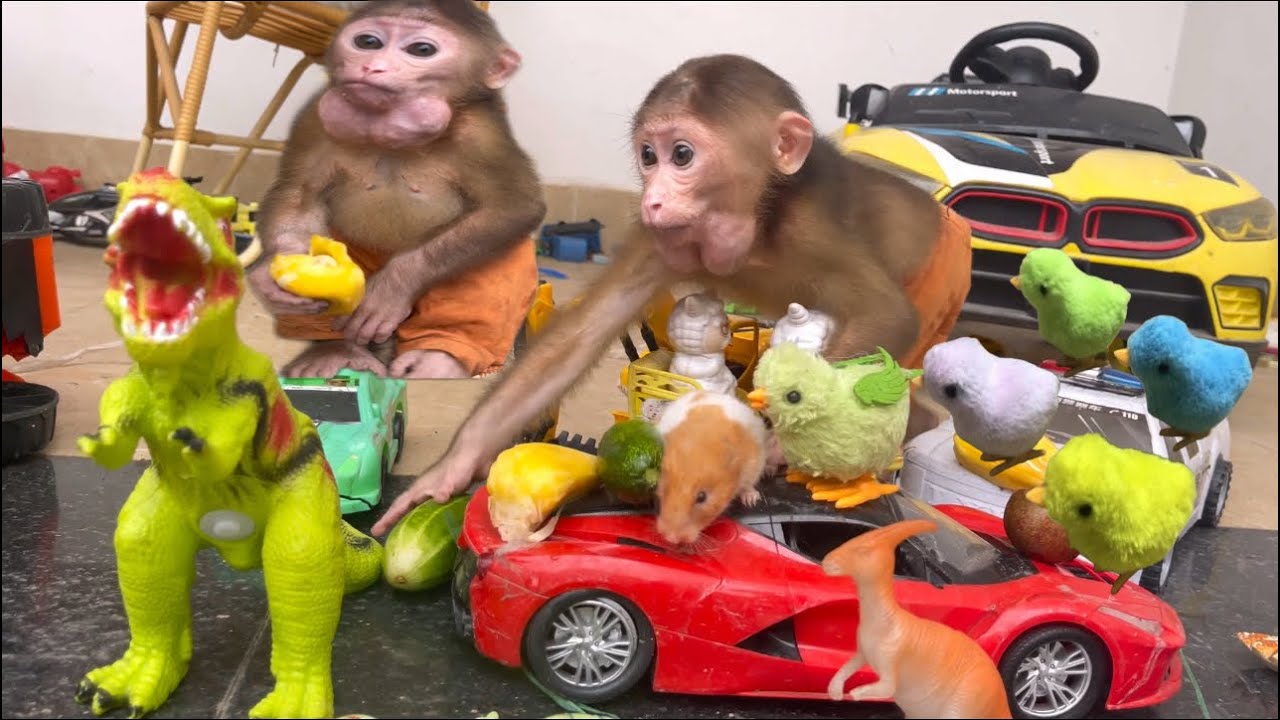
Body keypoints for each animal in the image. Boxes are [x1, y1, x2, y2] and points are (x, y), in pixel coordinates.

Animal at [247, 0, 546, 380]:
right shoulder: (313, 120)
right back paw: (334, 351)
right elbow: (299, 195)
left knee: (501, 265)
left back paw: (437, 357)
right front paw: (276, 267)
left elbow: (514, 205)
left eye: (422, 50)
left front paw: (393, 286)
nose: (373, 65)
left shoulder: (483, 137)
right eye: (368, 42)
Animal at [371, 53, 973, 536]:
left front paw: (779, 445)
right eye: (648, 156)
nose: (653, 197)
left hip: (945, 275)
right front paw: (453, 466)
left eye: (681, 155)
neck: (754, 224)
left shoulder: (810, 229)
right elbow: (580, 336)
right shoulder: (658, 240)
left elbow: (885, 312)